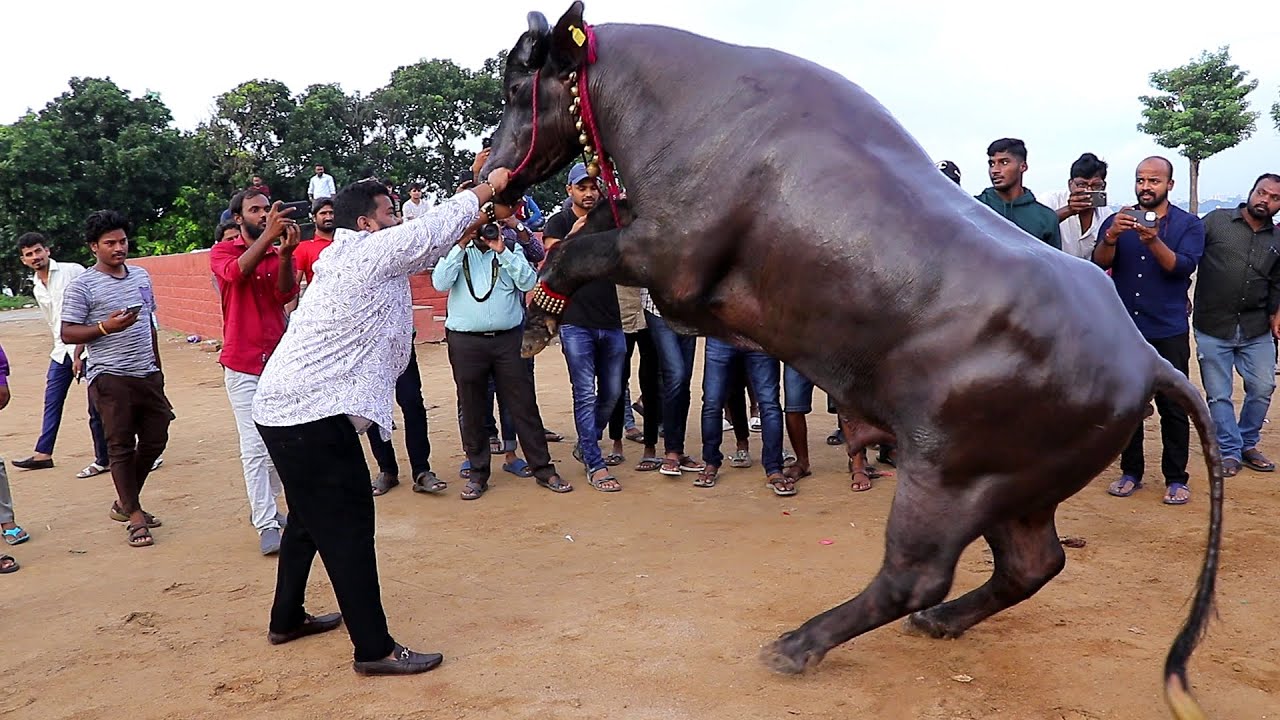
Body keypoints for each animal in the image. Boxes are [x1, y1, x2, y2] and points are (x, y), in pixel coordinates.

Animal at [479, 4, 1223, 718]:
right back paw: (940, 623)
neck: (685, 104)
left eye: (517, 86)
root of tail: (1145, 360)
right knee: (1031, 566)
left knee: (916, 576)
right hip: (1018, 491)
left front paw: (537, 321)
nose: (483, 170)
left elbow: (577, 251)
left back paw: (798, 645)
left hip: (947, 475)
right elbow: (586, 231)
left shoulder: (671, 259)